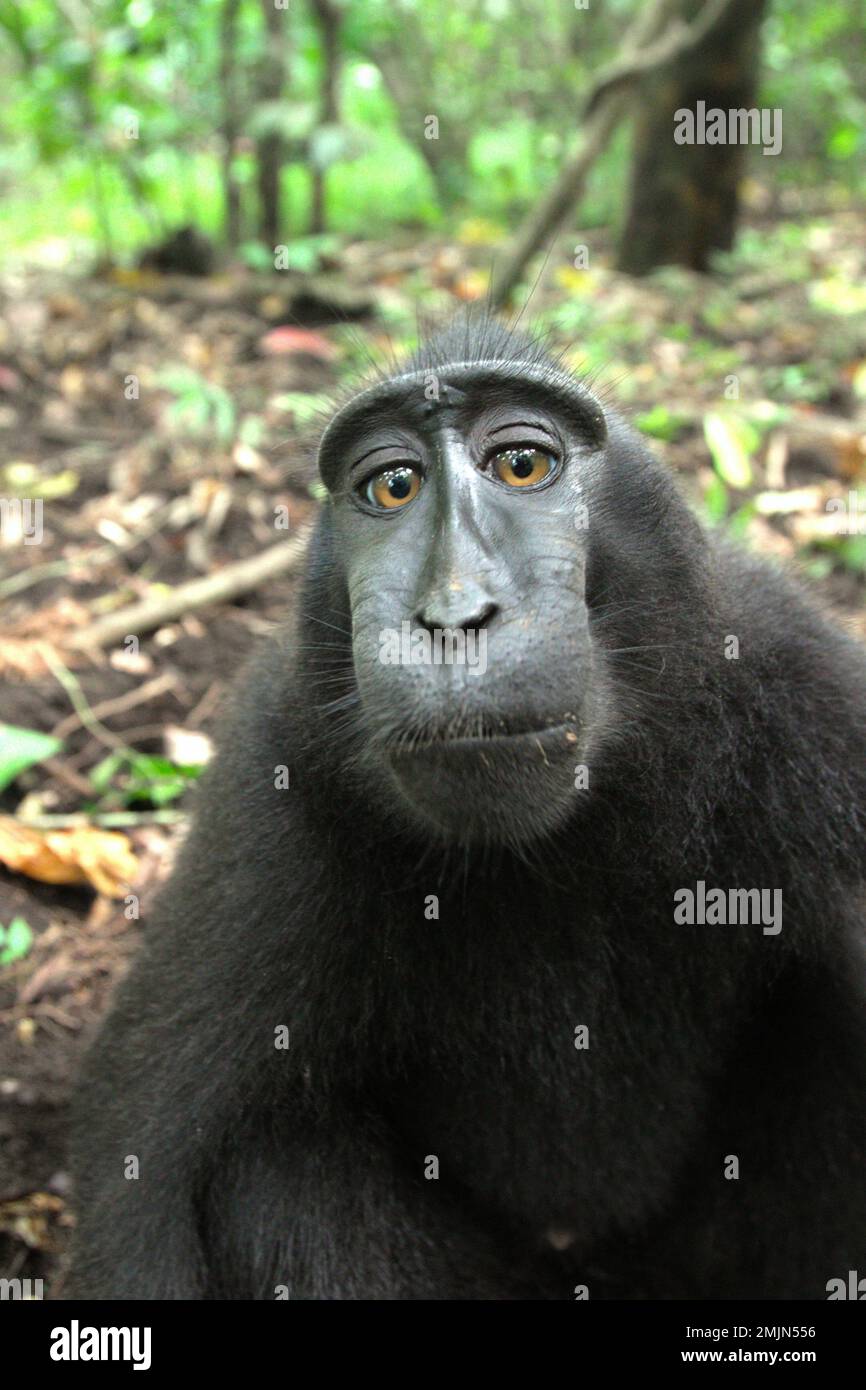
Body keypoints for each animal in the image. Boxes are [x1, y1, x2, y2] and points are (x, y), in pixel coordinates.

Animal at [69, 315, 866, 1300]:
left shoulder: (809, 699)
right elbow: (141, 1182)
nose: (452, 618)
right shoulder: (271, 777)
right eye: (393, 485)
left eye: (522, 465)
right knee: (269, 1172)